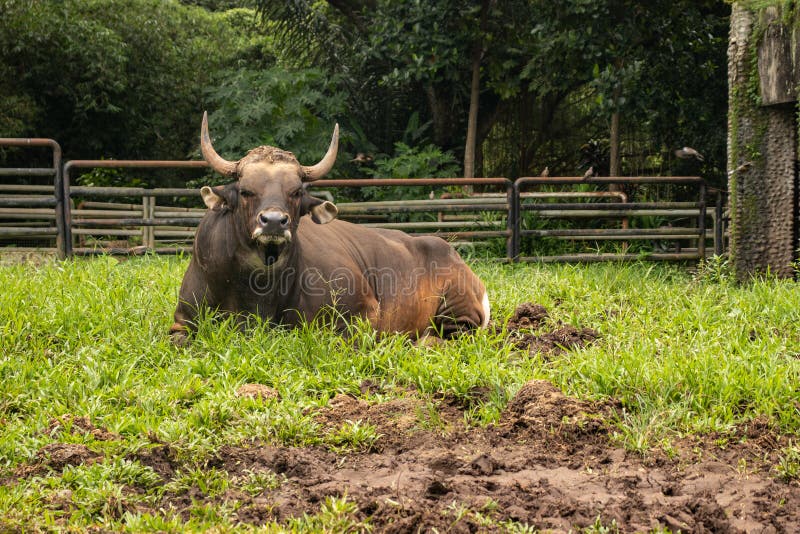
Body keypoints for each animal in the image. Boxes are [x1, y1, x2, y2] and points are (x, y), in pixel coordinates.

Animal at [169, 112, 490, 345]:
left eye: (296, 191)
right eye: (246, 190)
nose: (273, 221)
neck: (256, 289)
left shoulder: (362, 313)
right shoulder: (182, 321)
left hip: (457, 310)